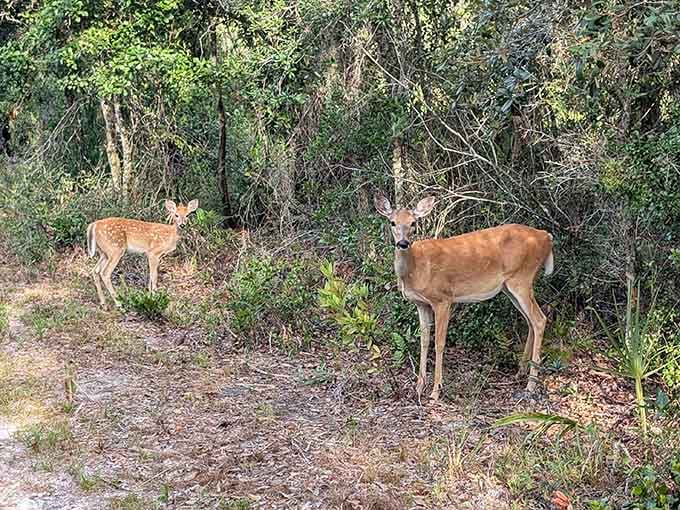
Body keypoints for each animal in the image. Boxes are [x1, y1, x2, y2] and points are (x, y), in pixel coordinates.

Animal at [374, 193, 554, 401]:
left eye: (413, 223)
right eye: (392, 222)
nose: (403, 243)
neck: (416, 269)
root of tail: (546, 236)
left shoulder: (443, 298)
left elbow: (439, 343)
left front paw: (436, 391)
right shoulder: (421, 304)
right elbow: (424, 341)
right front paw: (418, 388)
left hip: (522, 278)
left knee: (539, 319)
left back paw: (530, 385)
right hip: (510, 286)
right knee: (530, 321)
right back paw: (520, 372)